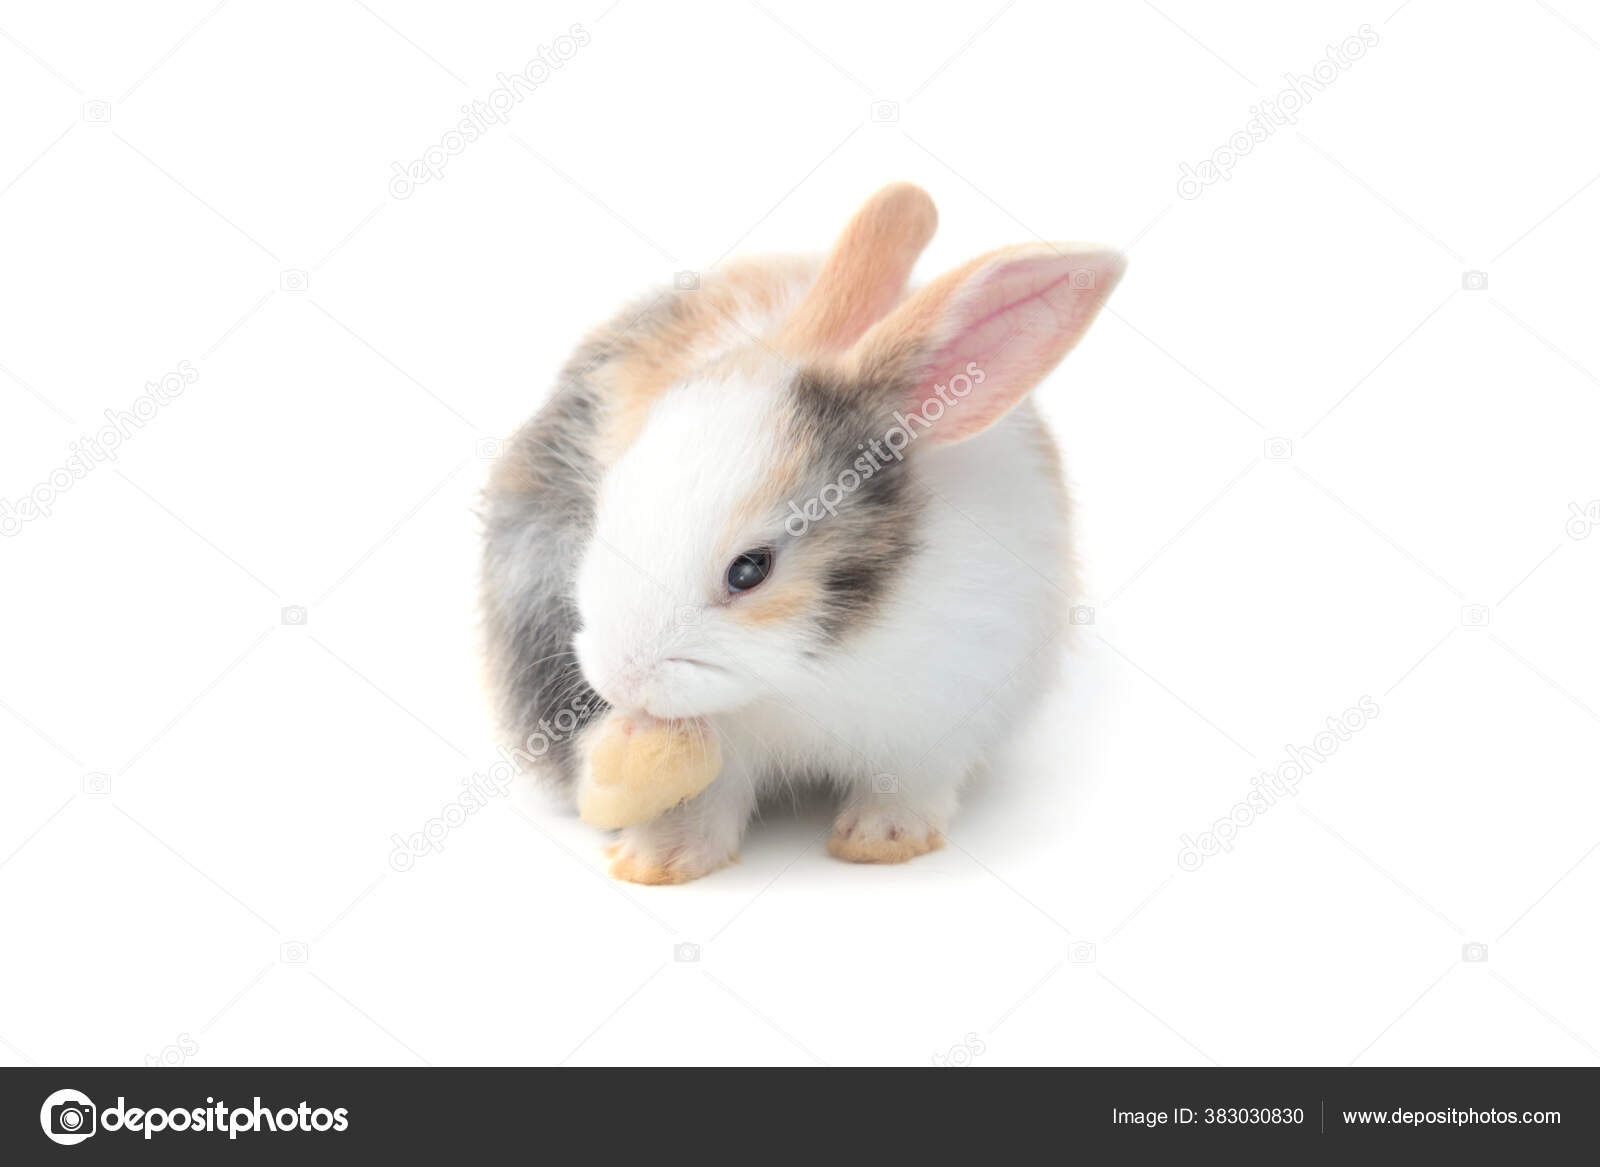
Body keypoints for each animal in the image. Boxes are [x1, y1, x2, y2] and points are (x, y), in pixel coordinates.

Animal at [480, 182, 1125, 884]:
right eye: (608, 504)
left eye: (750, 569)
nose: (619, 683)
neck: (807, 680)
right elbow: (707, 800)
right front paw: (660, 860)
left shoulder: (944, 715)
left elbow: (907, 785)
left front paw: (881, 842)